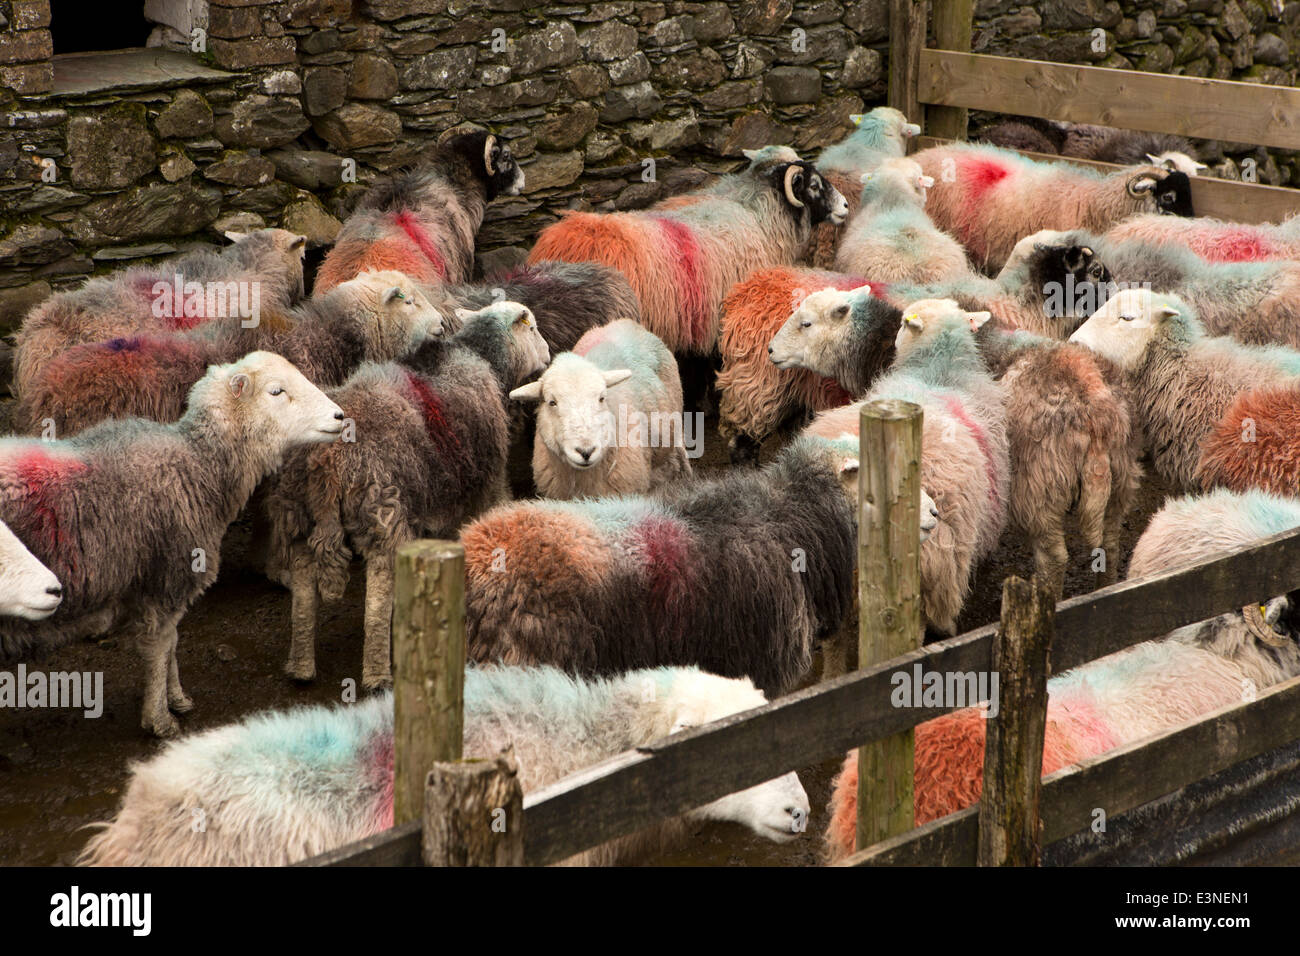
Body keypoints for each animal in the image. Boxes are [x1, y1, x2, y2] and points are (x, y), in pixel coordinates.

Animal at [0, 352, 344, 737]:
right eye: (276, 391)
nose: (340, 416)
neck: (198, 465)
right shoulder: (168, 575)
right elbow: (159, 647)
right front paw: (160, 719)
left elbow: (173, 642)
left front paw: (177, 698)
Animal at [267, 302, 550, 690]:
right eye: (533, 328)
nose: (550, 355)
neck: (481, 356)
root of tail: (327, 460)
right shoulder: (483, 479)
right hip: (380, 511)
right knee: (378, 594)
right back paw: (377, 672)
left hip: (296, 513)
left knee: (304, 591)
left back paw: (301, 666)